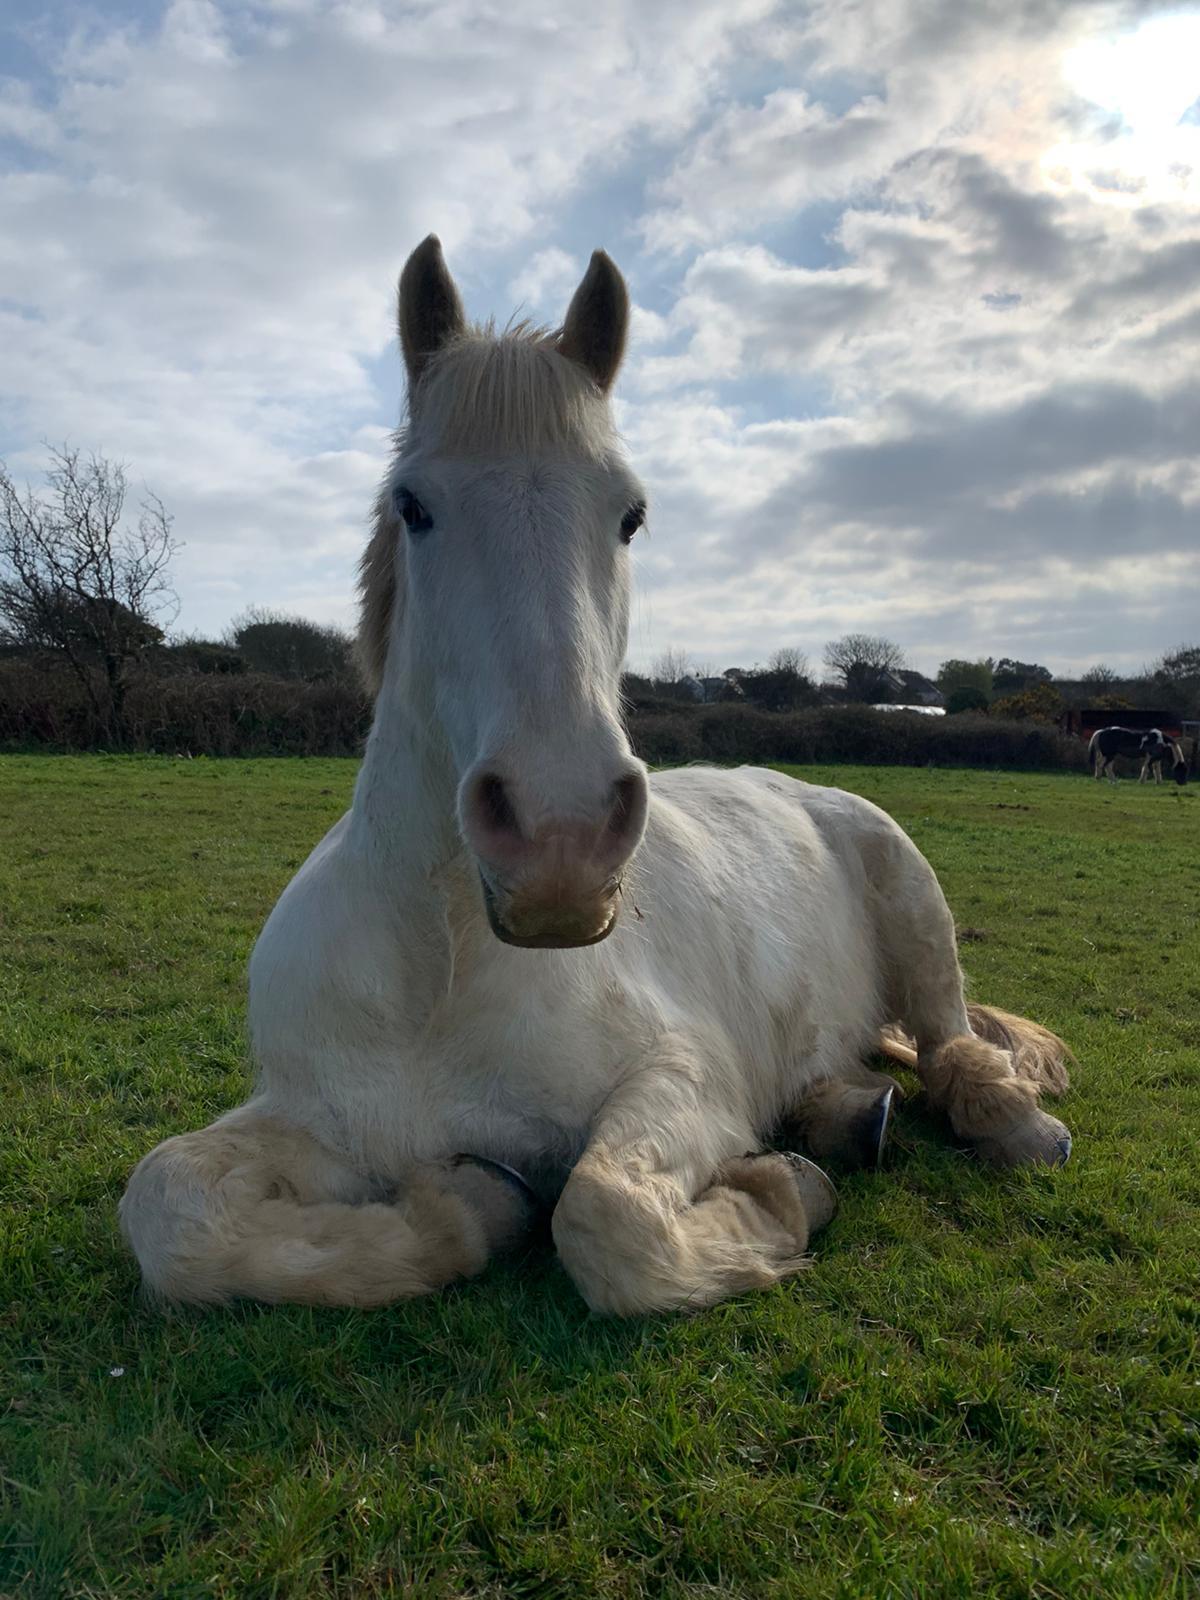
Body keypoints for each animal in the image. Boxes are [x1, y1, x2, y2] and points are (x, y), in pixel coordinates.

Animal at [119, 238, 1073, 1317]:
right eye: (414, 505)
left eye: (631, 515)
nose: (559, 841)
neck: (439, 976)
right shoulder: (317, 1121)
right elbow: (170, 1208)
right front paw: (465, 1206)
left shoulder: (681, 1079)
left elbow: (605, 1217)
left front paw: (783, 1192)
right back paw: (844, 1109)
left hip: (916, 906)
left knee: (955, 1045)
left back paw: (1004, 1126)